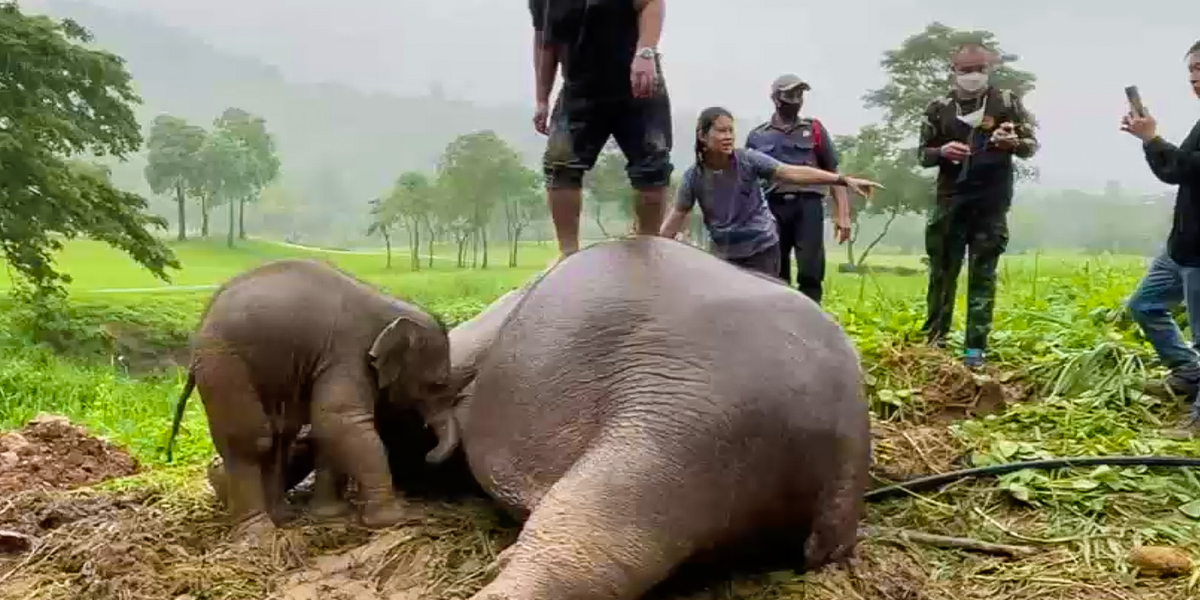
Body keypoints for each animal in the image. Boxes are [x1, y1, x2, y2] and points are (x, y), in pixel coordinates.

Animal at [165, 258, 458, 537]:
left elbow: (327, 427)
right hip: (224, 365)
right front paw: (393, 519)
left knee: (280, 435)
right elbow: (340, 419)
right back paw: (258, 532)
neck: (389, 304)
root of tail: (200, 328)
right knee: (253, 440)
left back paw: (282, 517)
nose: (428, 456)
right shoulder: (347, 352)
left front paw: (329, 515)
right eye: (437, 385)